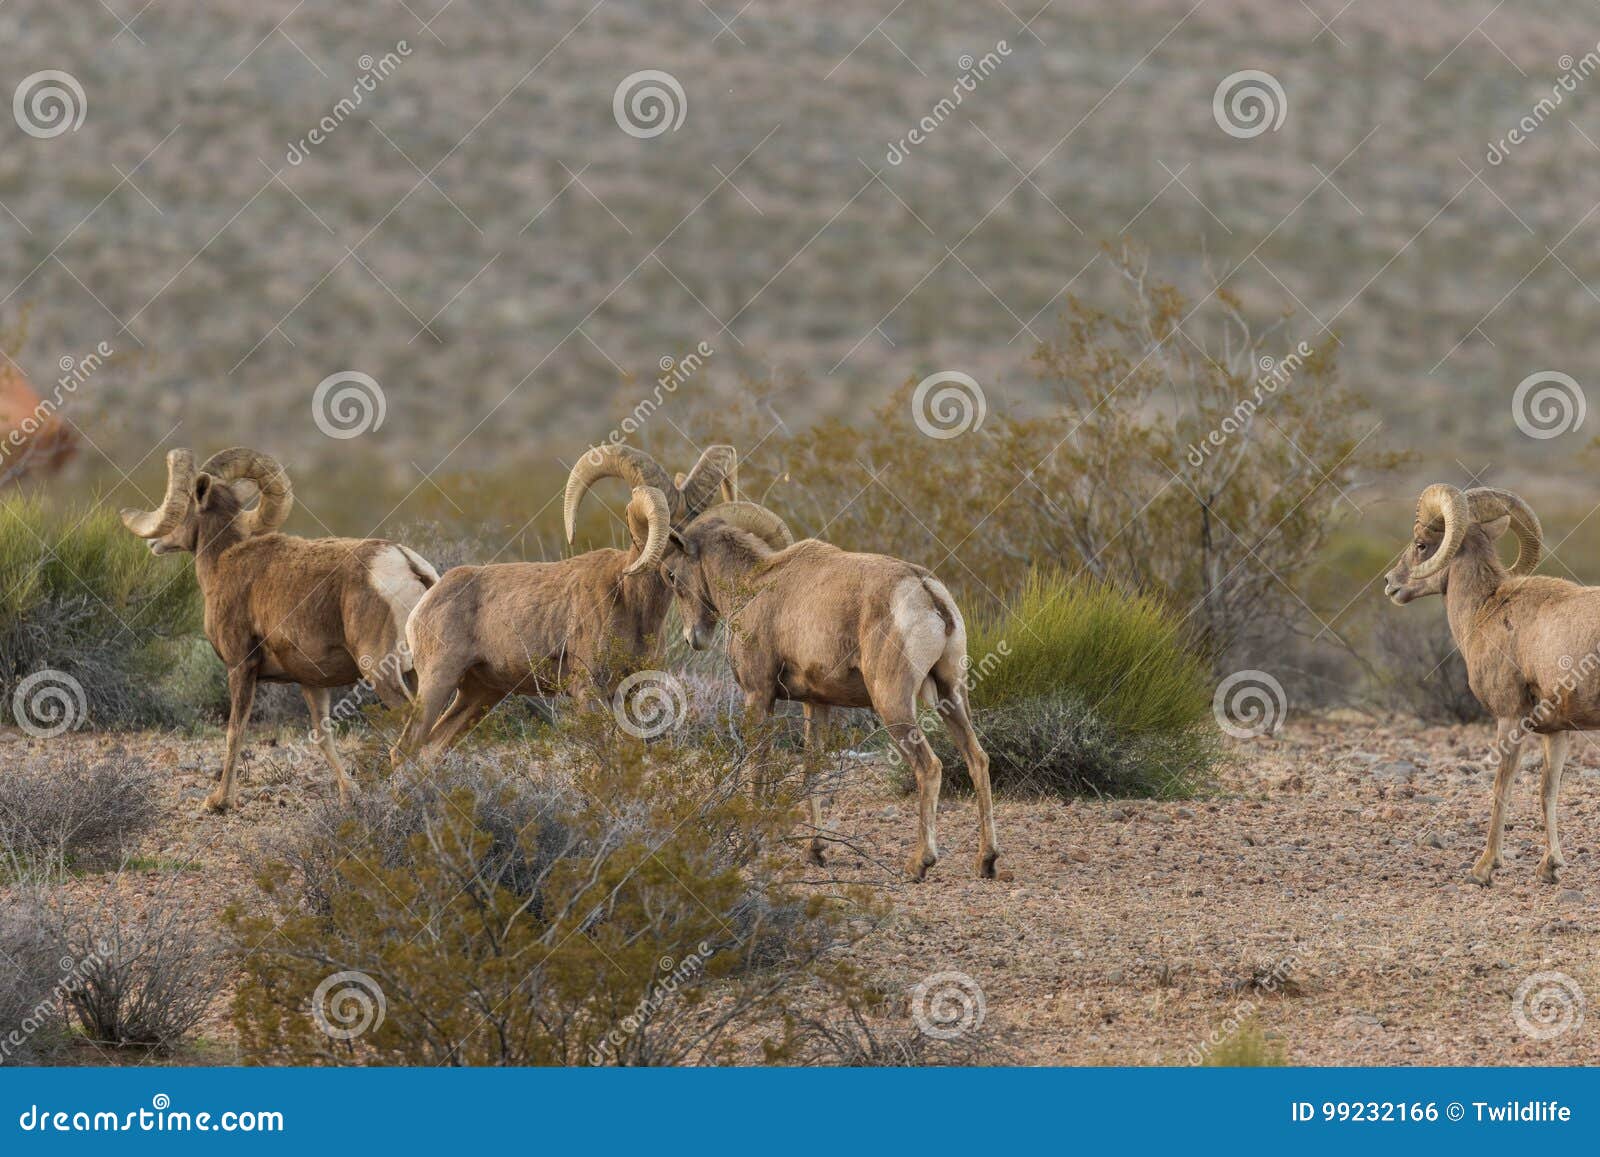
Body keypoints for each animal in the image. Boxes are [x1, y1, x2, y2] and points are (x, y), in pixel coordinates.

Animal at [121, 447, 439, 811]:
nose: (155, 544)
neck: (223, 563)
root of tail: (405, 564)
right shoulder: (312, 683)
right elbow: (322, 737)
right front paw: (349, 795)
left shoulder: (240, 668)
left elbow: (235, 732)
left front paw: (219, 801)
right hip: (415, 672)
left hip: (381, 672)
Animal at [397, 443, 737, 757]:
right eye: (669, 524)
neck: (630, 602)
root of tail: (425, 601)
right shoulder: (589, 691)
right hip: (438, 681)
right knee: (404, 749)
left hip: (479, 694)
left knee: (431, 750)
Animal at [656, 500, 998, 881]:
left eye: (671, 575)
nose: (693, 638)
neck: (752, 587)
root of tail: (927, 593)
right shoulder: (815, 704)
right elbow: (811, 769)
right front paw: (816, 851)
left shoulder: (758, 695)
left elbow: (757, 767)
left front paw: (749, 846)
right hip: (951, 695)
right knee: (977, 758)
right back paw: (986, 860)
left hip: (893, 705)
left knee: (929, 766)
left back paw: (919, 863)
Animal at [1384, 482, 1590, 885]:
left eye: (1420, 544)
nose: (1390, 584)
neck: (1487, 610)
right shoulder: (1556, 732)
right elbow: (1548, 791)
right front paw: (1551, 866)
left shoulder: (1509, 720)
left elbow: (1501, 788)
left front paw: (1484, 868)